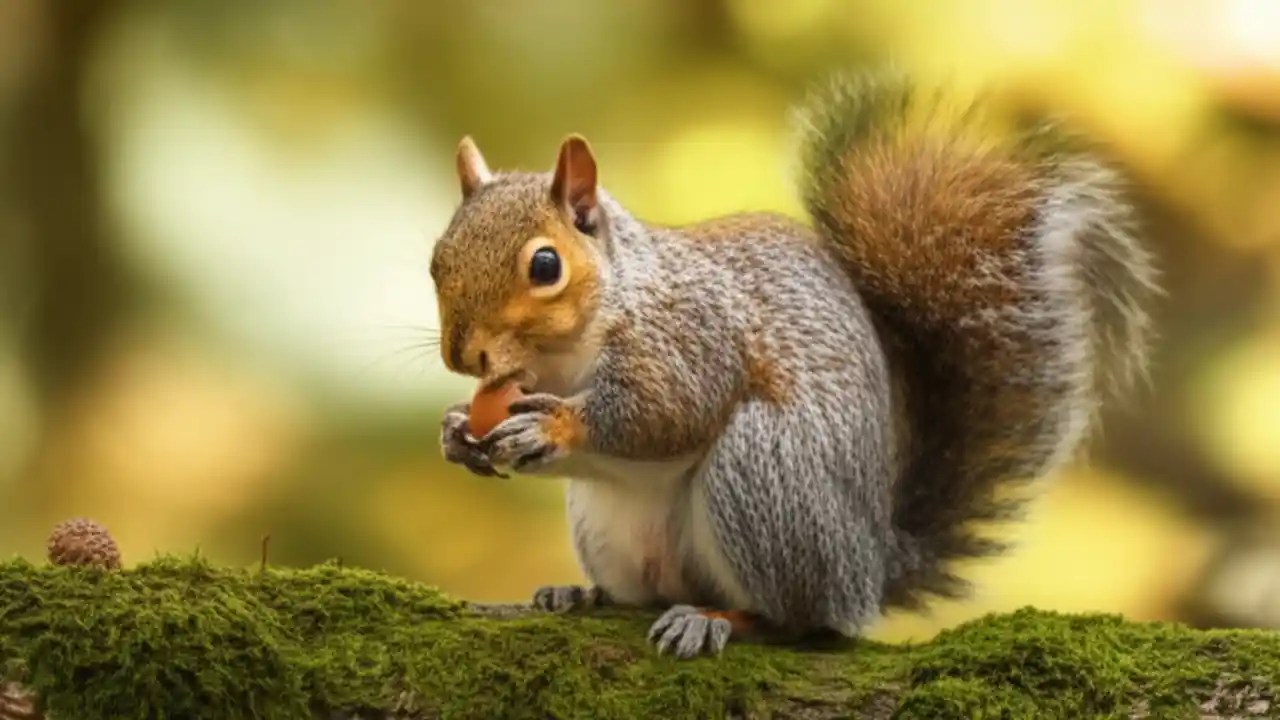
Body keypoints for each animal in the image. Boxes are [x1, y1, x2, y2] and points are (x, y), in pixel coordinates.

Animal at [430, 71, 1158, 658]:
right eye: (437, 258)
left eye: (545, 266)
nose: (463, 355)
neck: (569, 352)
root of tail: (868, 567)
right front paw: (456, 431)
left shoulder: (694, 335)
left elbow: (666, 413)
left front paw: (552, 427)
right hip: (606, 524)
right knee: (646, 589)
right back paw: (583, 596)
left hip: (765, 477)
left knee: (797, 618)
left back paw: (718, 619)